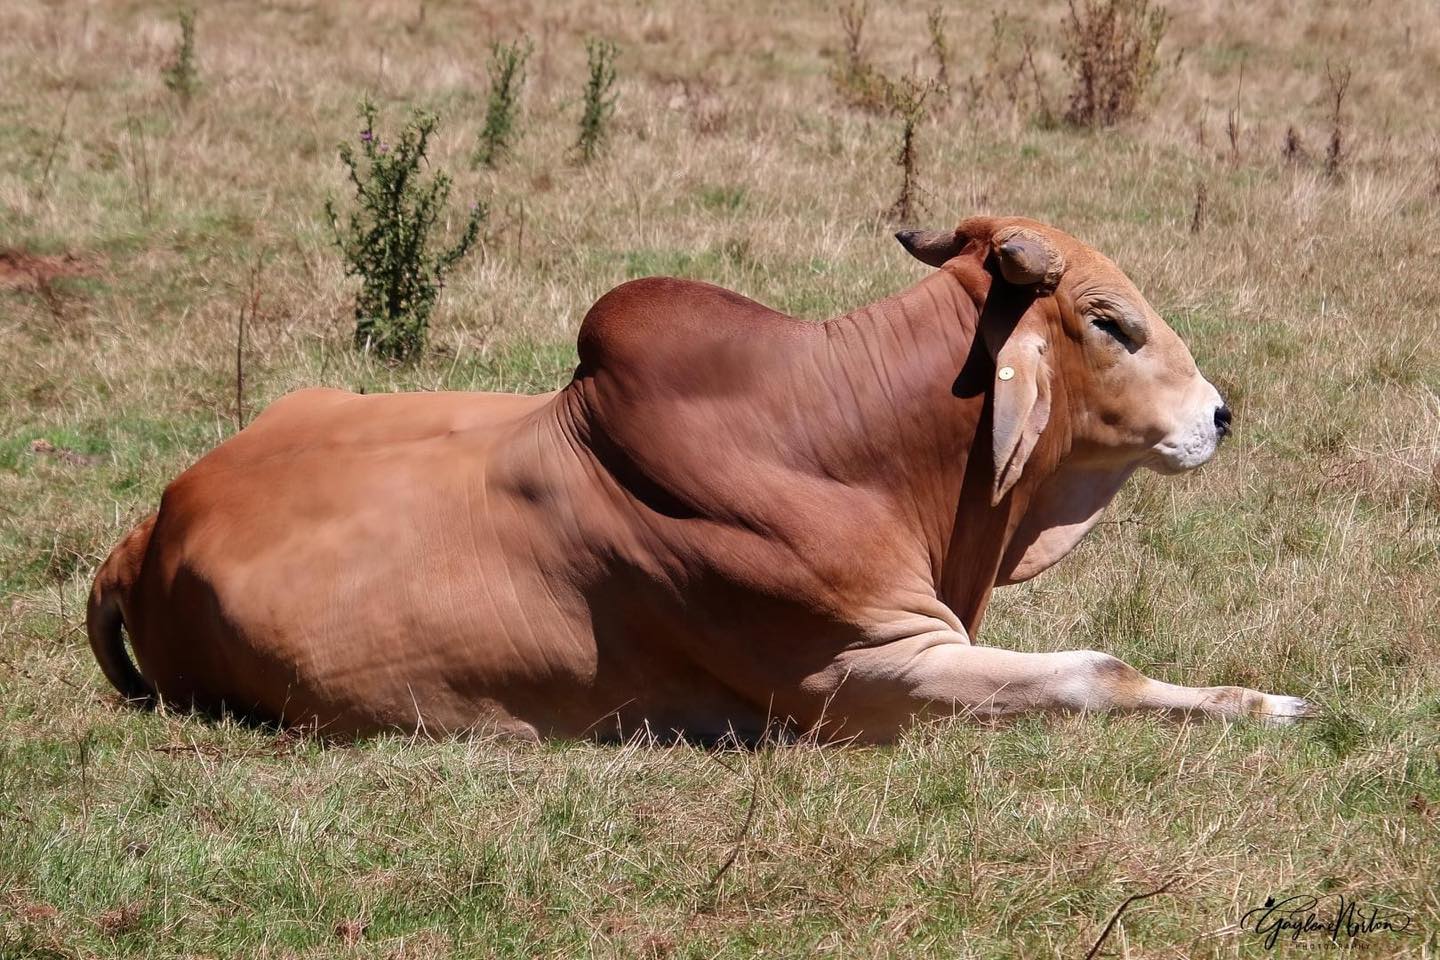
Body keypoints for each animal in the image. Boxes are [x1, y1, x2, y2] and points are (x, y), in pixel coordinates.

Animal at [87, 215, 1315, 743]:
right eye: (1109, 321)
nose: (1218, 414)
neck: (846, 441)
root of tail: (149, 529)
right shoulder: (869, 677)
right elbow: (1095, 671)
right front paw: (1268, 705)